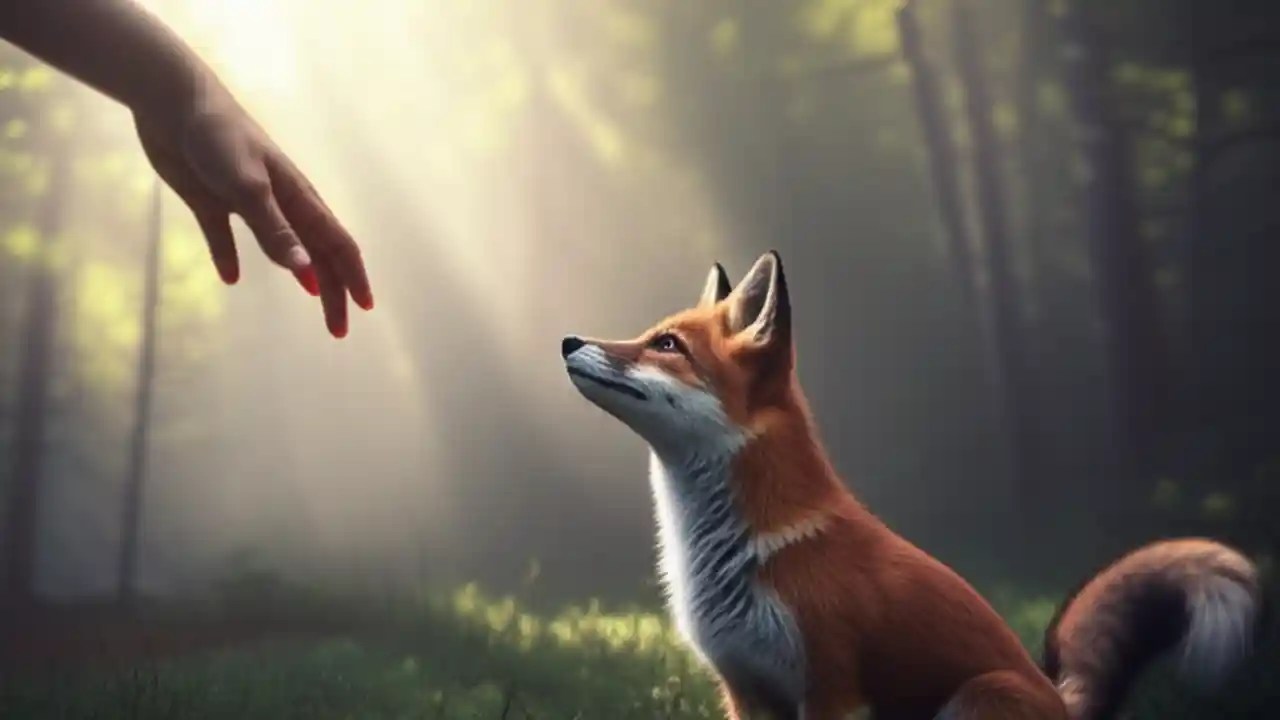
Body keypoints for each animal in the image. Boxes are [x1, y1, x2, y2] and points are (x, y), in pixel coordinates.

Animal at [560, 251, 1262, 720]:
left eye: (667, 345)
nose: (569, 339)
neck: (746, 554)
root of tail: (1060, 701)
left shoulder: (832, 687)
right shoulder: (746, 691)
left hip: (979, 697)